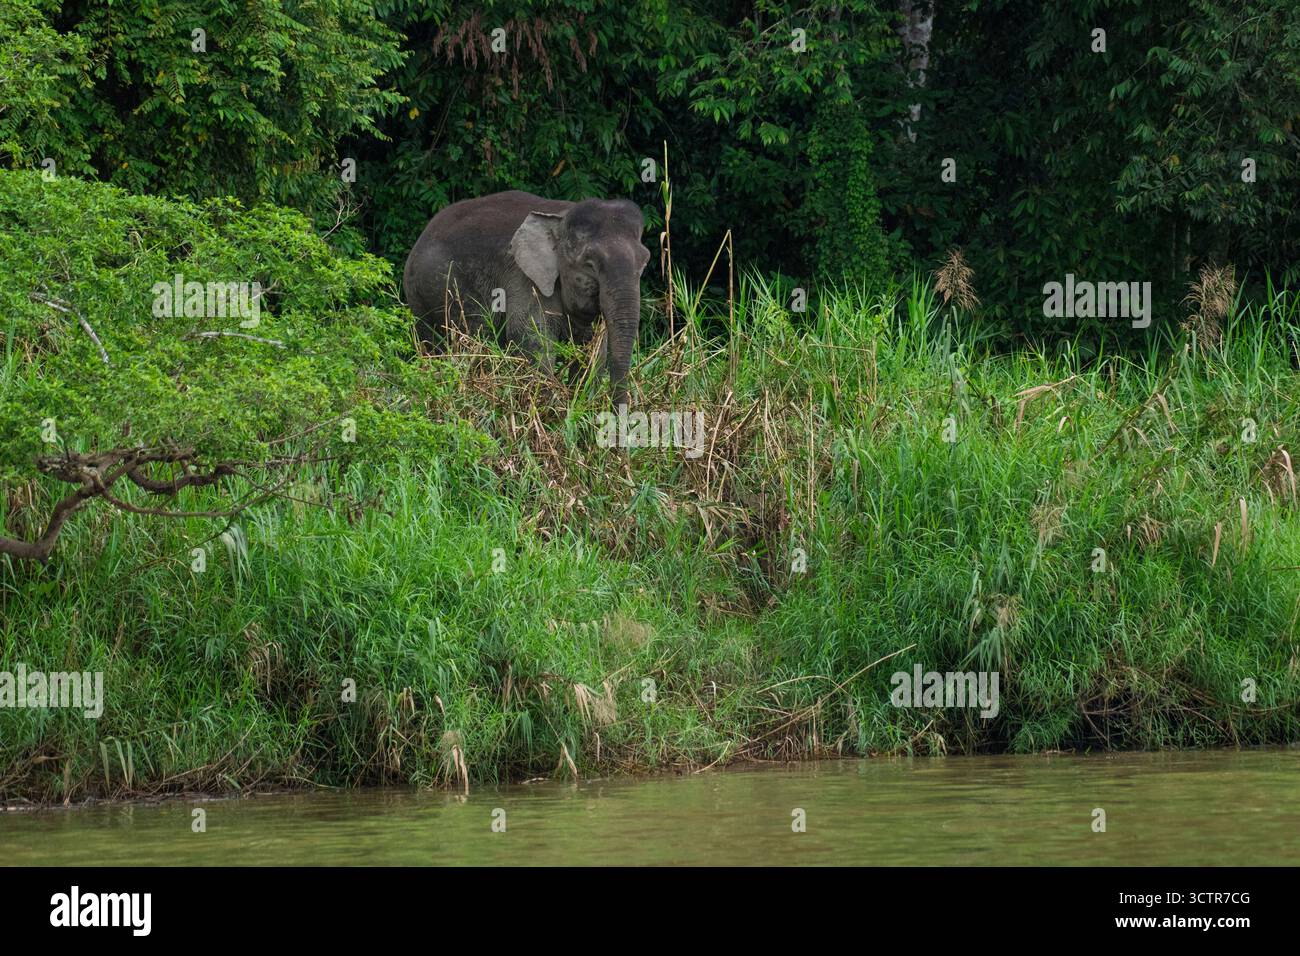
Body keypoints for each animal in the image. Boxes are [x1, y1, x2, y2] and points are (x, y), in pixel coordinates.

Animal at [403, 190, 651, 407]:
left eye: (644, 262)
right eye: (590, 263)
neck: (561, 217)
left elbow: (591, 349)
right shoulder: (522, 276)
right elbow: (531, 338)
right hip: (425, 296)